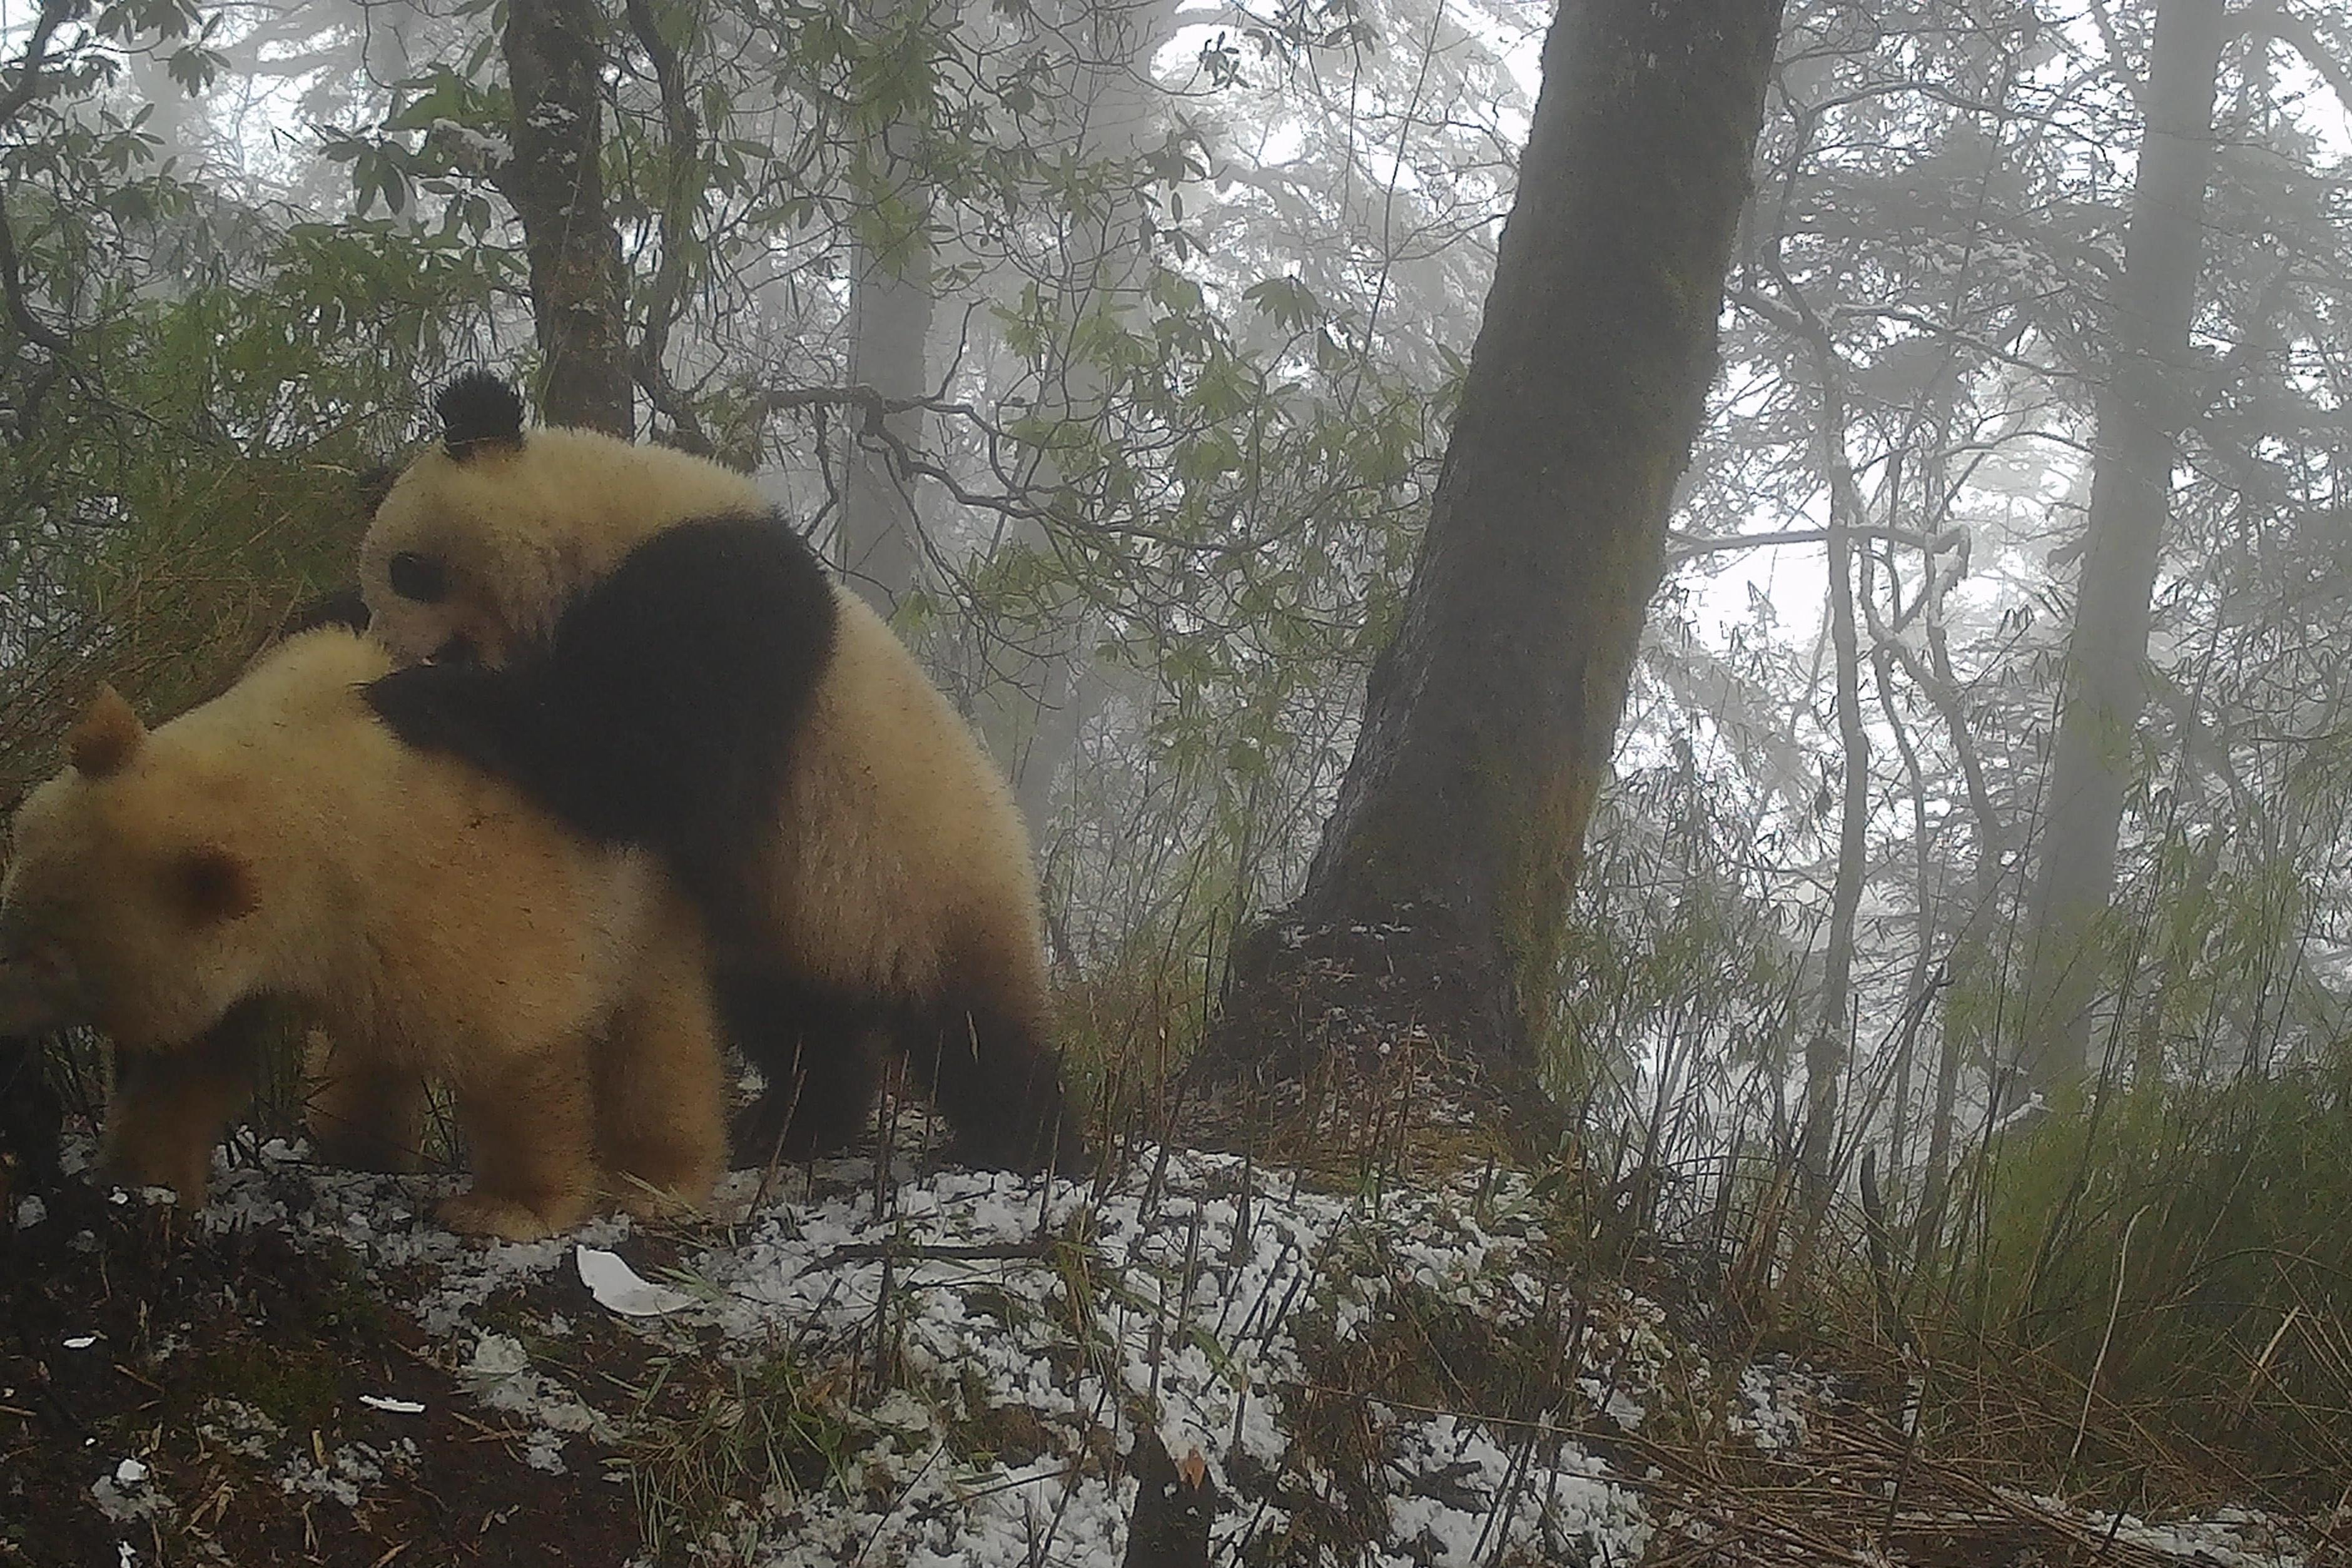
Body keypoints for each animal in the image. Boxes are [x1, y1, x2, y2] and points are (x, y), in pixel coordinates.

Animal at [0, 628, 729, 1241]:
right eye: (14, 903)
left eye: (52, 961)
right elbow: (192, 1062)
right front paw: (141, 1184)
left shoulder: (458, 884)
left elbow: (511, 1035)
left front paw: (507, 1207)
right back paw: (354, 1143)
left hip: (649, 902)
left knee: (658, 1041)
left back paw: (655, 1182)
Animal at [355, 372, 1083, 1174]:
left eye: (409, 570)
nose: (393, 646)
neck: (605, 514)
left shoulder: (721, 593)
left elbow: (653, 765)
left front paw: (421, 696)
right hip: (789, 920)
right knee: (797, 1020)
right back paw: (793, 1124)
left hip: (934, 890)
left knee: (978, 1036)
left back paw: (1026, 1142)